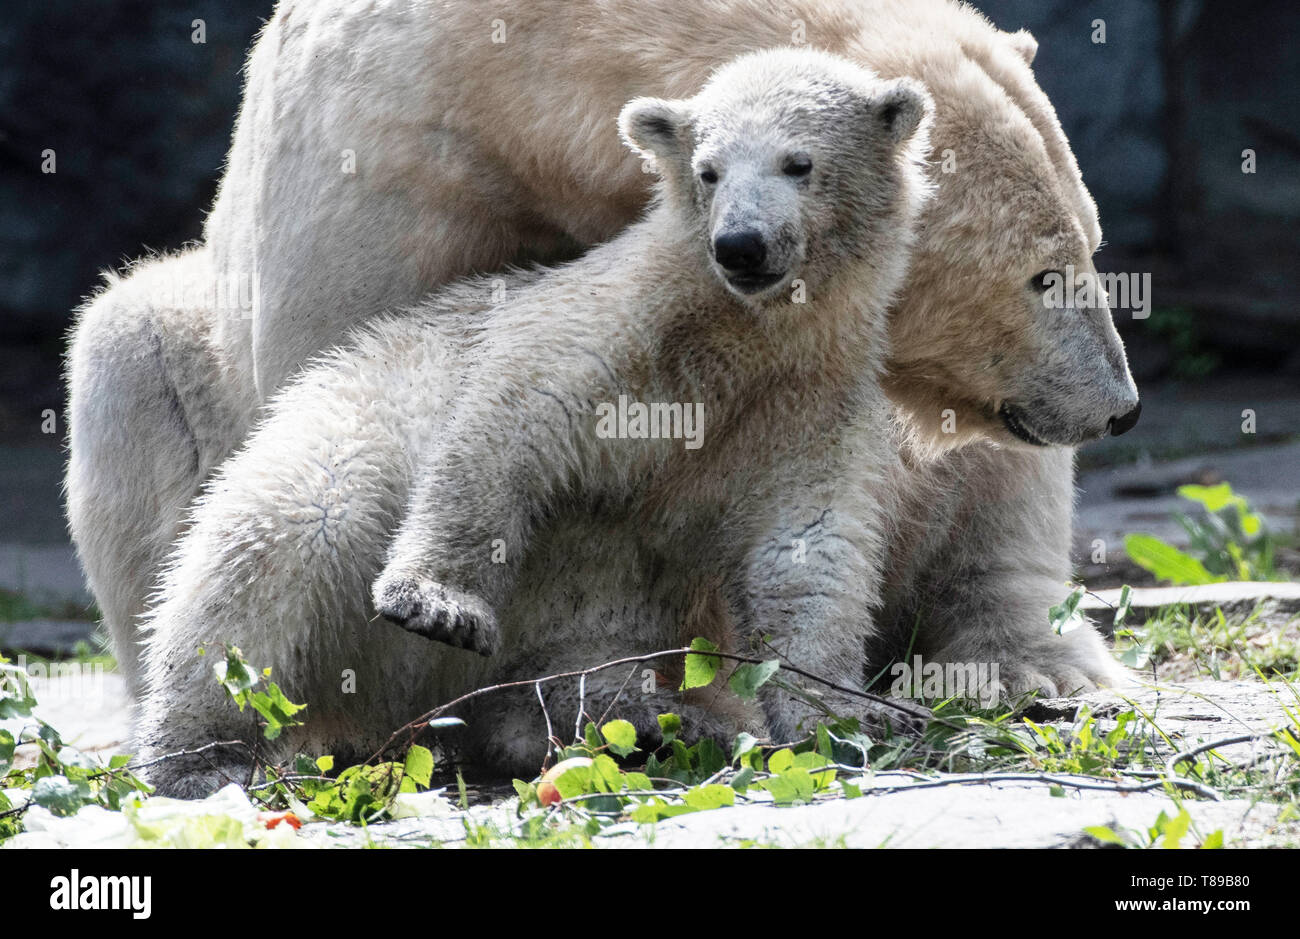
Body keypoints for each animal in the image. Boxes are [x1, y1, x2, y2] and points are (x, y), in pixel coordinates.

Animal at [66, 0, 1139, 704]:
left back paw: (1035, 665)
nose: (1119, 404)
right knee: (128, 358)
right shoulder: (385, 174)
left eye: (1093, 245)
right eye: (1043, 275)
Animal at [131, 47, 934, 796]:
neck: (733, 336)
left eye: (799, 163)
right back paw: (195, 757)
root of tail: (402, 713)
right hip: (331, 451)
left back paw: (644, 725)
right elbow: (509, 422)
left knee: (578, 677)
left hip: (594, 617)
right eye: (708, 171)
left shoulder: (806, 402)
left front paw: (847, 715)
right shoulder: (611, 328)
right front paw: (439, 604)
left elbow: (807, 551)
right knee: (274, 552)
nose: (740, 245)